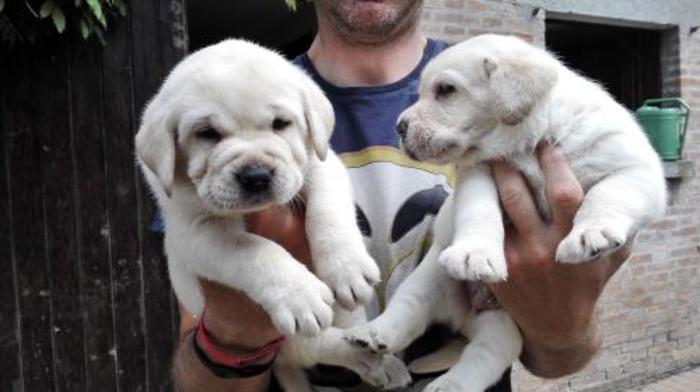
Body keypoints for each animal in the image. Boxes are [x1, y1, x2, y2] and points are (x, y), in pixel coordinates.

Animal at [135, 40, 410, 392]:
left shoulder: (321, 163)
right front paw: (299, 295)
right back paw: (366, 355)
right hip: (289, 340)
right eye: (206, 132)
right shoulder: (192, 231)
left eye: (281, 123)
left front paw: (346, 268)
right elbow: (253, 250)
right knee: (315, 345)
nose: (256, 175)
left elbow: (328, 210)